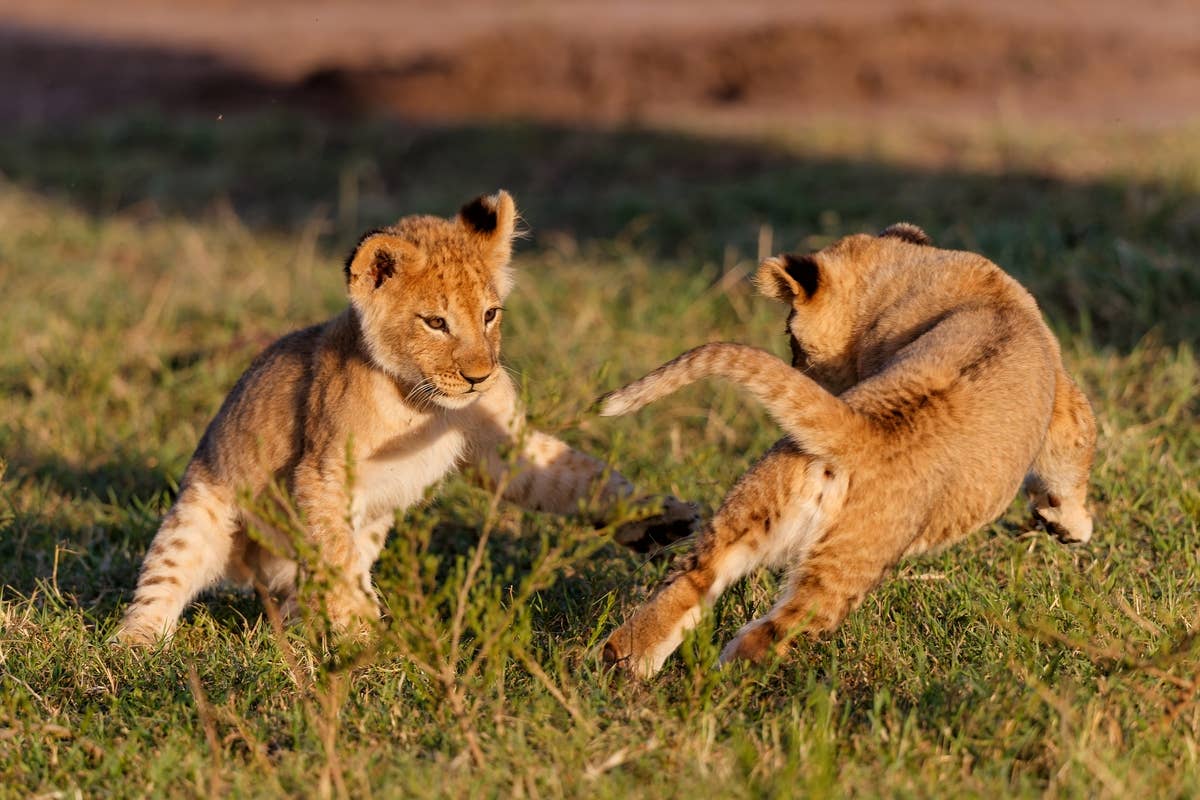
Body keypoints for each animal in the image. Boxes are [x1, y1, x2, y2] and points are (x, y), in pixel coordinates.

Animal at [116, 191, 696, 645]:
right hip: (200, 512)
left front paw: (661, 519)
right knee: (161, 584)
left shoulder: (503, 447)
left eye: (490, 314)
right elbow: (339, 560)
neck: (424, 403)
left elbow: (581, 479)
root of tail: (255, 569)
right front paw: (365, 637)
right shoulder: (322, 475)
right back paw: (136, 651)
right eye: (436, 322)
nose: (479, 377)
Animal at [598, 223, 1096, 677]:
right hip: (852, 562)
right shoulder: (1063, 400)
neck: (910, 274)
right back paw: (725, 684)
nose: (798, 368)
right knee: (770, 633)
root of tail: (862, 428)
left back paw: (626, 664)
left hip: (753, 508)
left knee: (692, 579)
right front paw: (1070, 526)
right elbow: (1072, 460)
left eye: (792, 340)